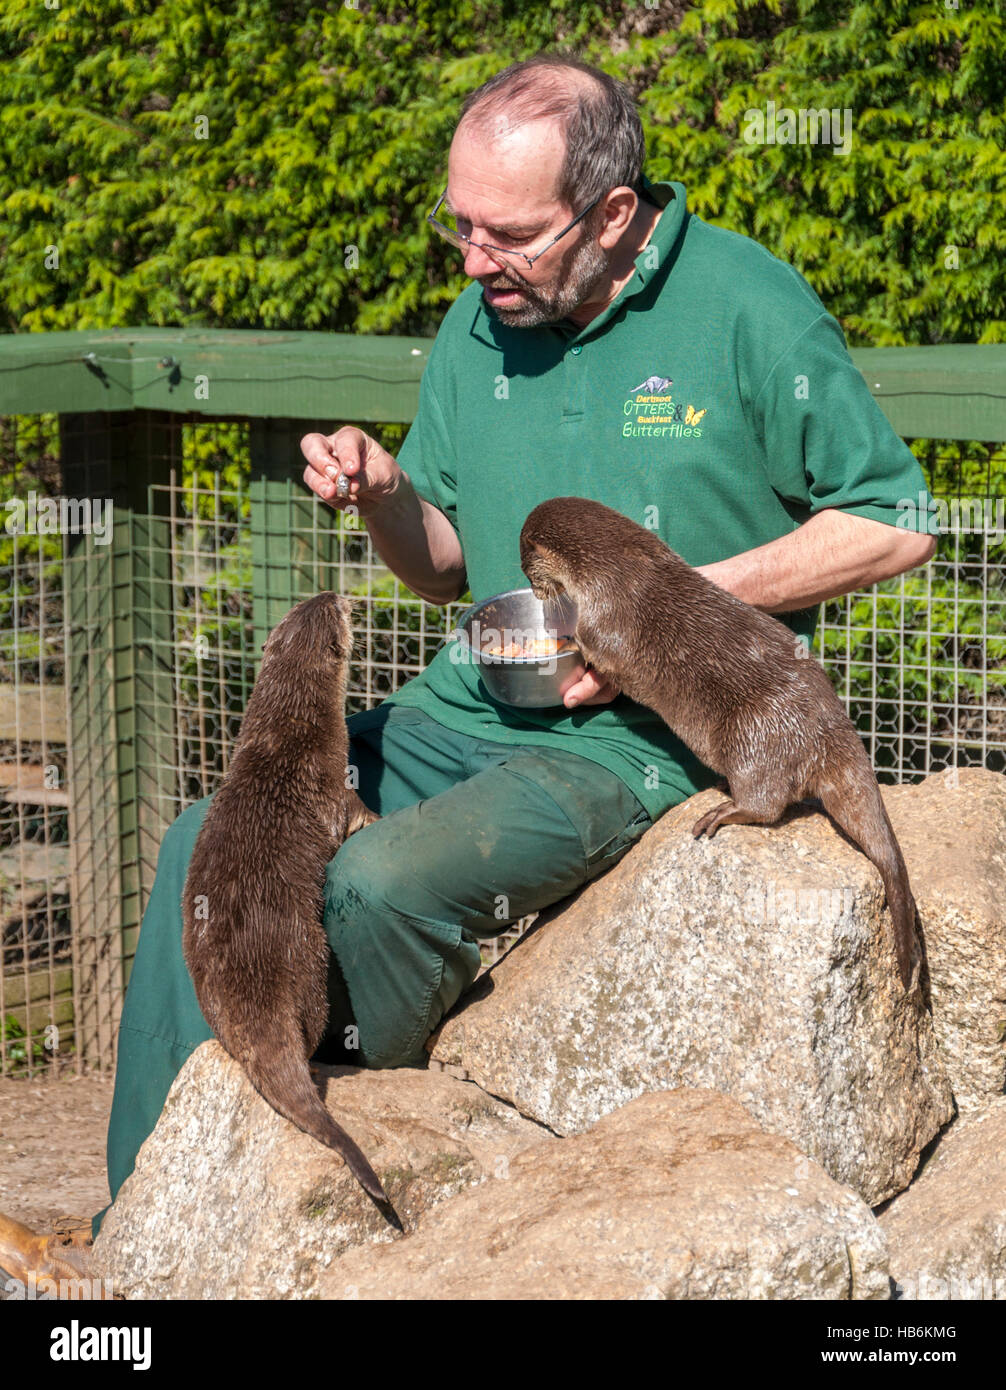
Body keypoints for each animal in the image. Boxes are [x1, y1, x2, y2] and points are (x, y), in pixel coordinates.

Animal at [182, 591, 399, 1222]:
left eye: (317, 602)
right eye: (341, 611)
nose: (342, 594)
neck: (287, 733)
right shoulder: (331, 786)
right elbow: (356, 818)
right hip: (310, 968)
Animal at [520, 498, 920, 992]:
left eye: (525, 560)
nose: (529, 584)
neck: (615, 571)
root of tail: (832, 728)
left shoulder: (609, 618)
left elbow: (597, 645)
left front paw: (568, 635)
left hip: (754, 734)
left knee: (768, 804)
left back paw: (725, 810)